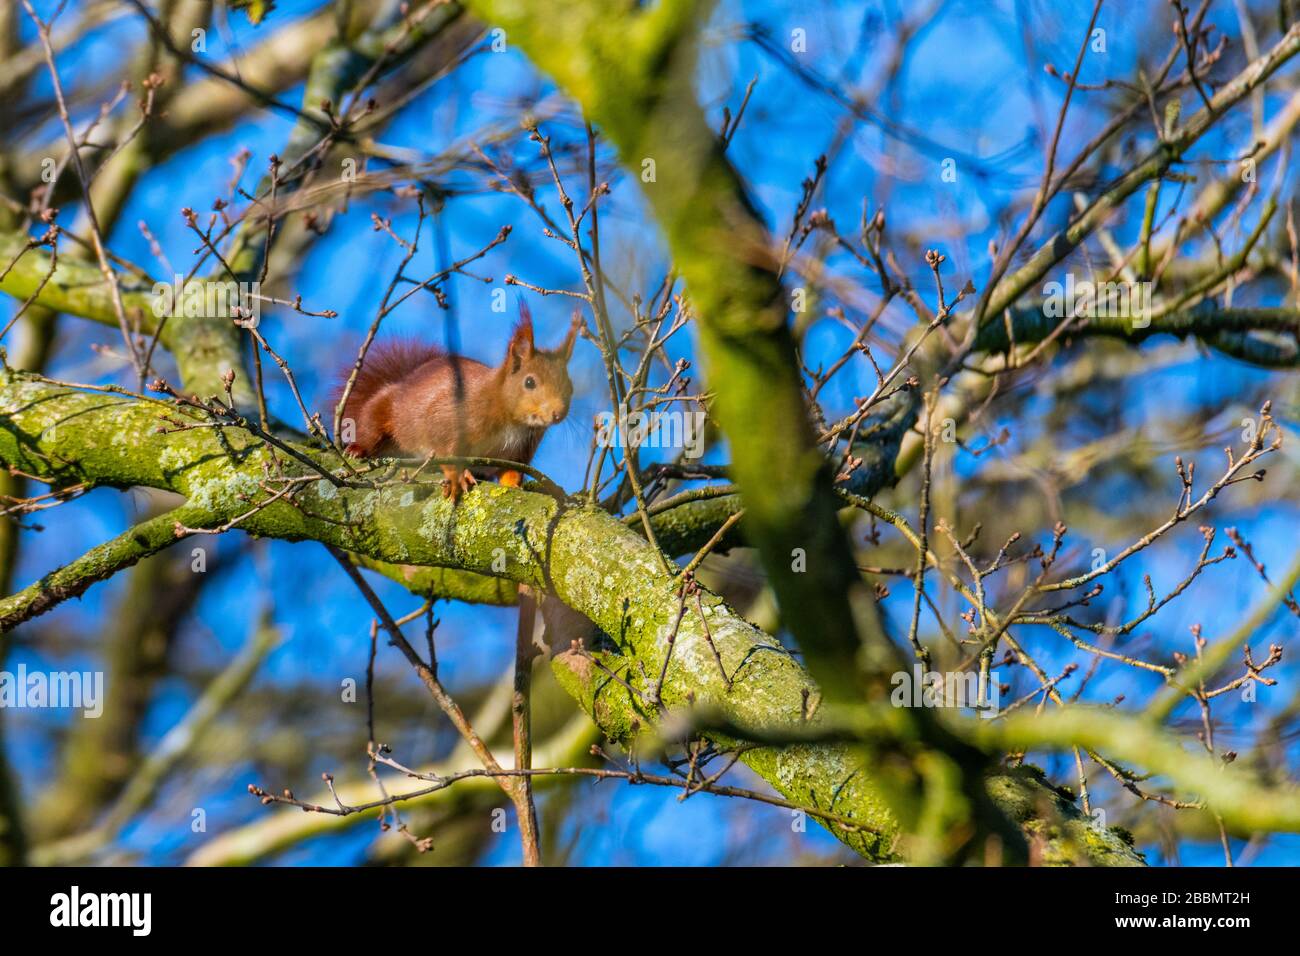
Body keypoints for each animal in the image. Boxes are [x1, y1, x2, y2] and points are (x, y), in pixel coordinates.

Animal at [334, 301, 579, 500]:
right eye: (529, 382)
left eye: (570, 386)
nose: (558, 413)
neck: (513, 421)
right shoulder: (448, 416)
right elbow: (444, 447)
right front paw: (457, 477)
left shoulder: (521, 452)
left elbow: (512, 472)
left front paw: (514, 486)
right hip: (385, 408)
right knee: (372, 425)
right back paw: (358, 448)